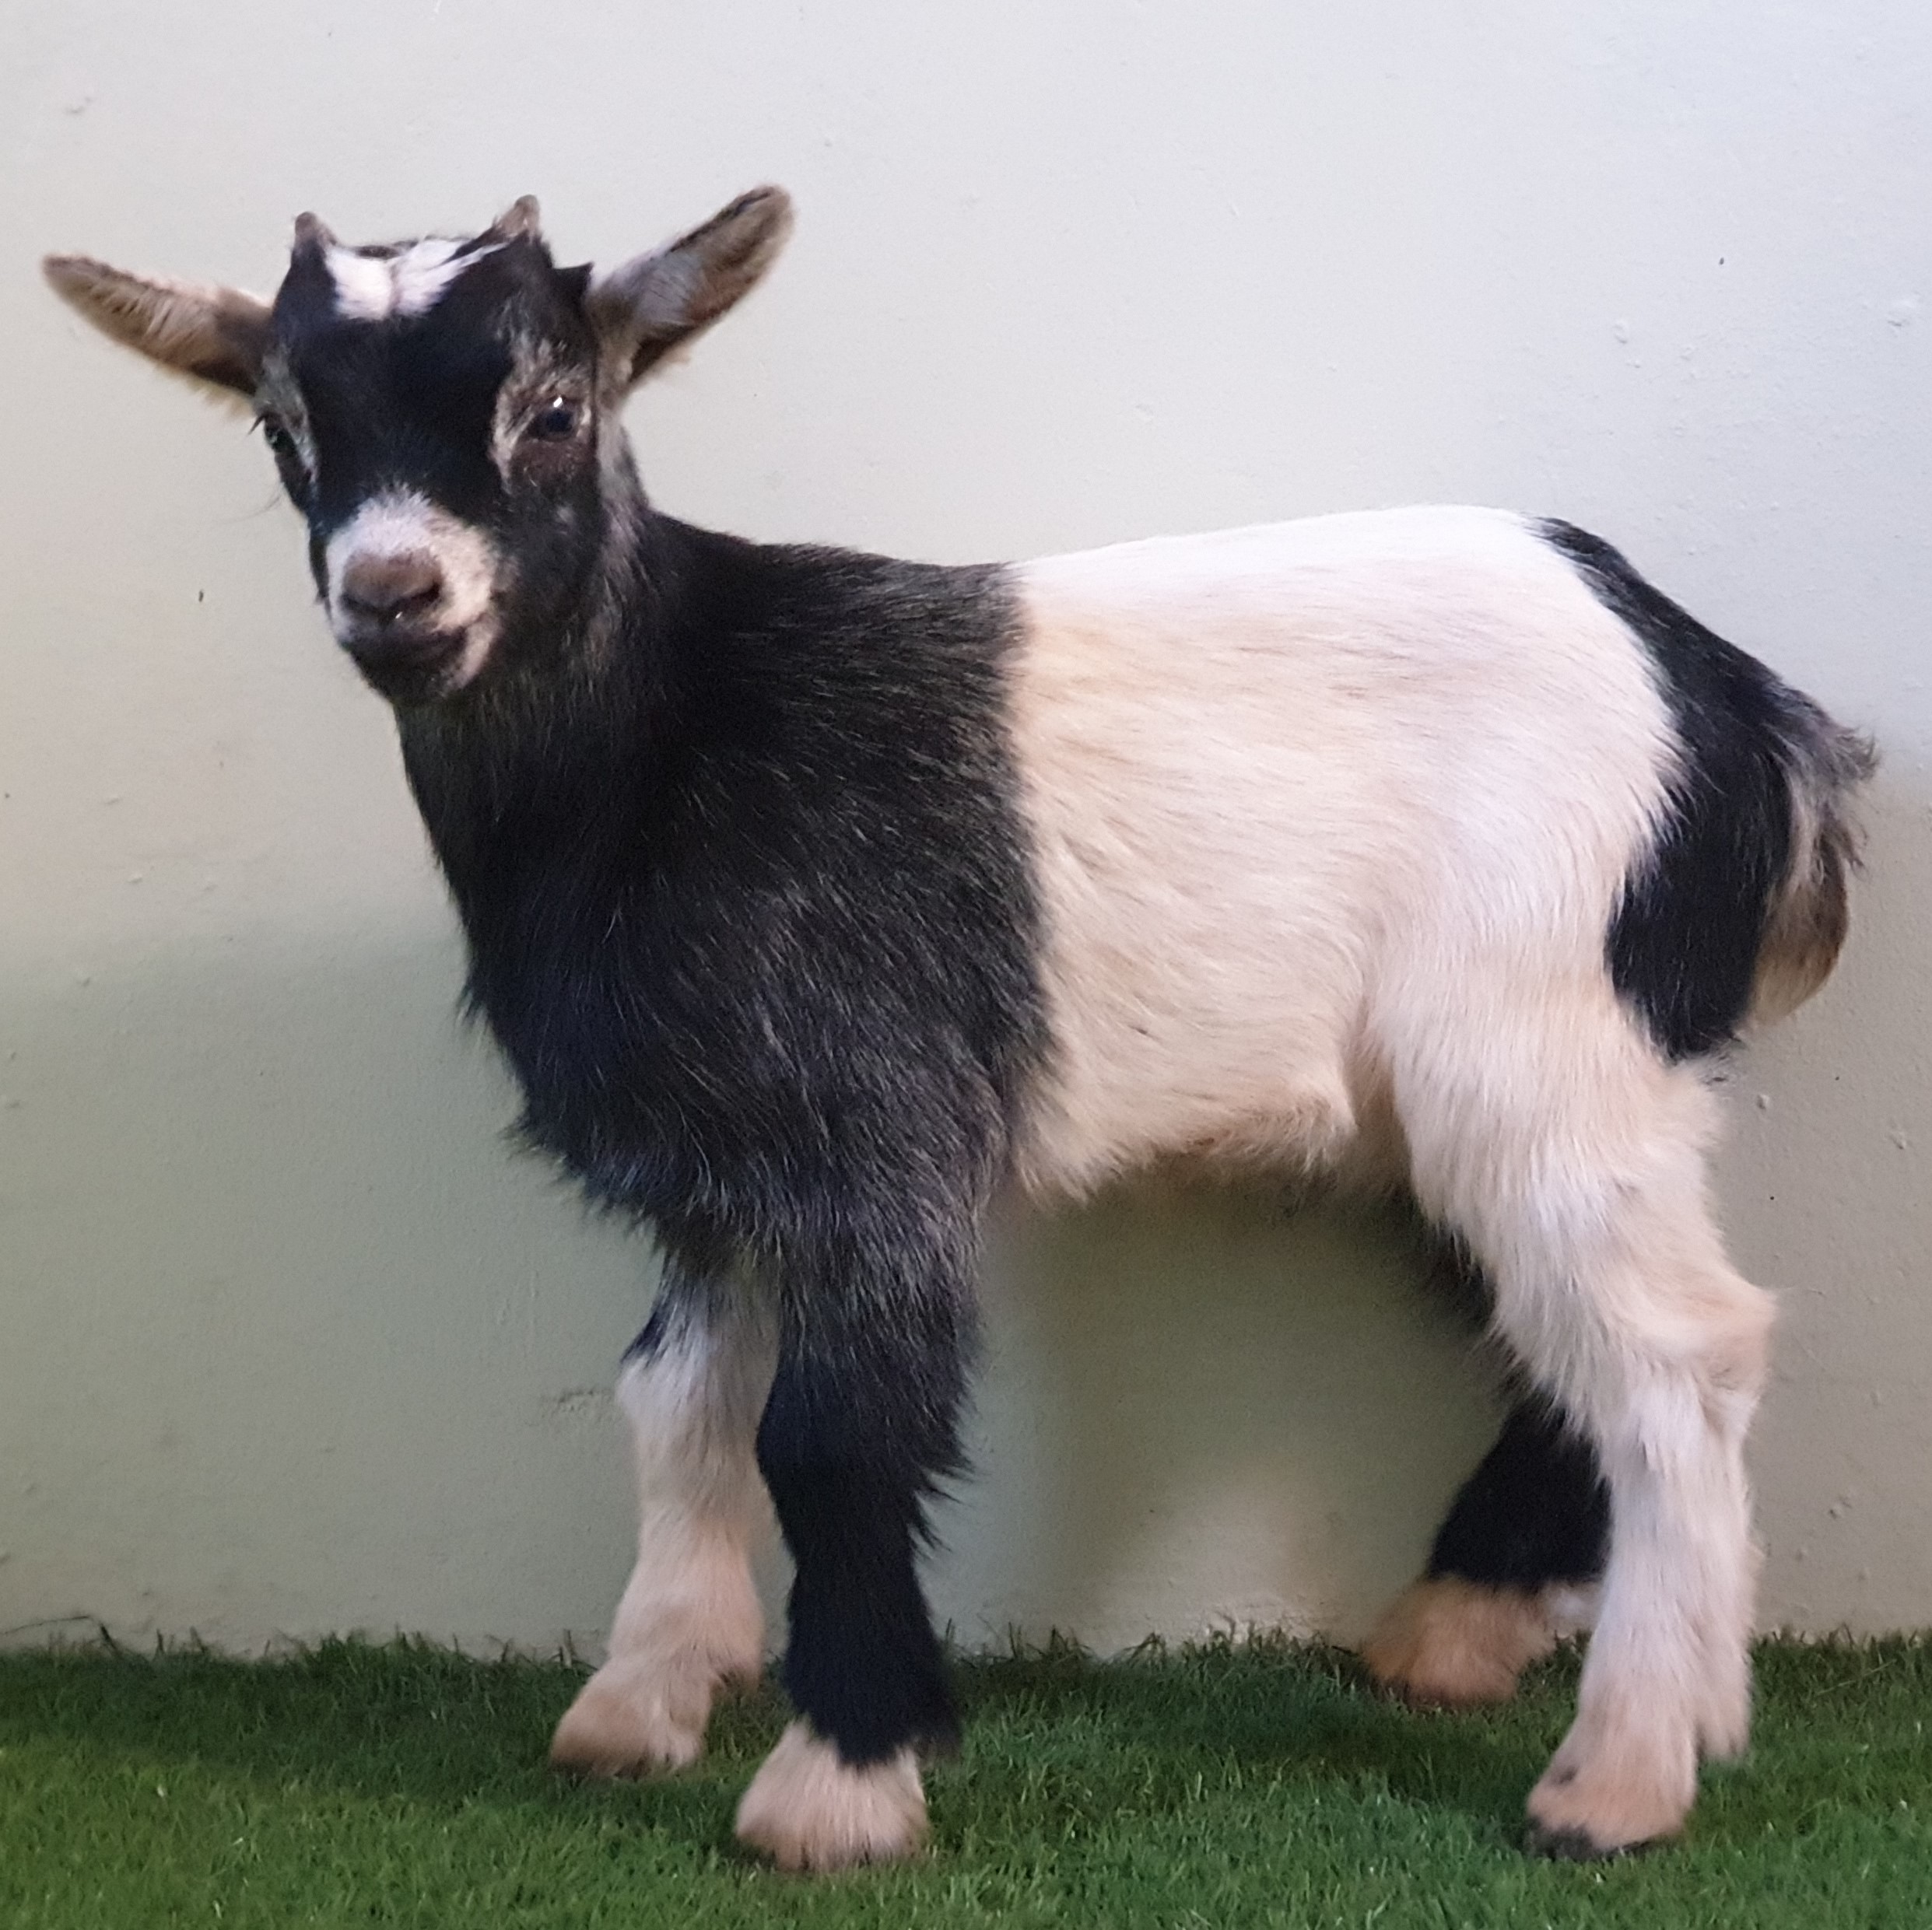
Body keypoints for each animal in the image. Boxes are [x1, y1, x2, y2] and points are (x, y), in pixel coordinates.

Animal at [45, 187, 1872, 1870]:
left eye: (552, 405)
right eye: (285, 426)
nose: (395, 594)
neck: (665, 732)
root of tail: (1737, 707)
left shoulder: (874, 1132)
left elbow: (829, 1436)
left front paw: (833, 1783)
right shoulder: (715, 1168)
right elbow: (672, 1400)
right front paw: (640, 1698)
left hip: (1543, 1048)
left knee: (1672, 1355)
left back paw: (1620, 1775)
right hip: (1437, 1101)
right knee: (1550, 1337)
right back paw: (1454, 1636)